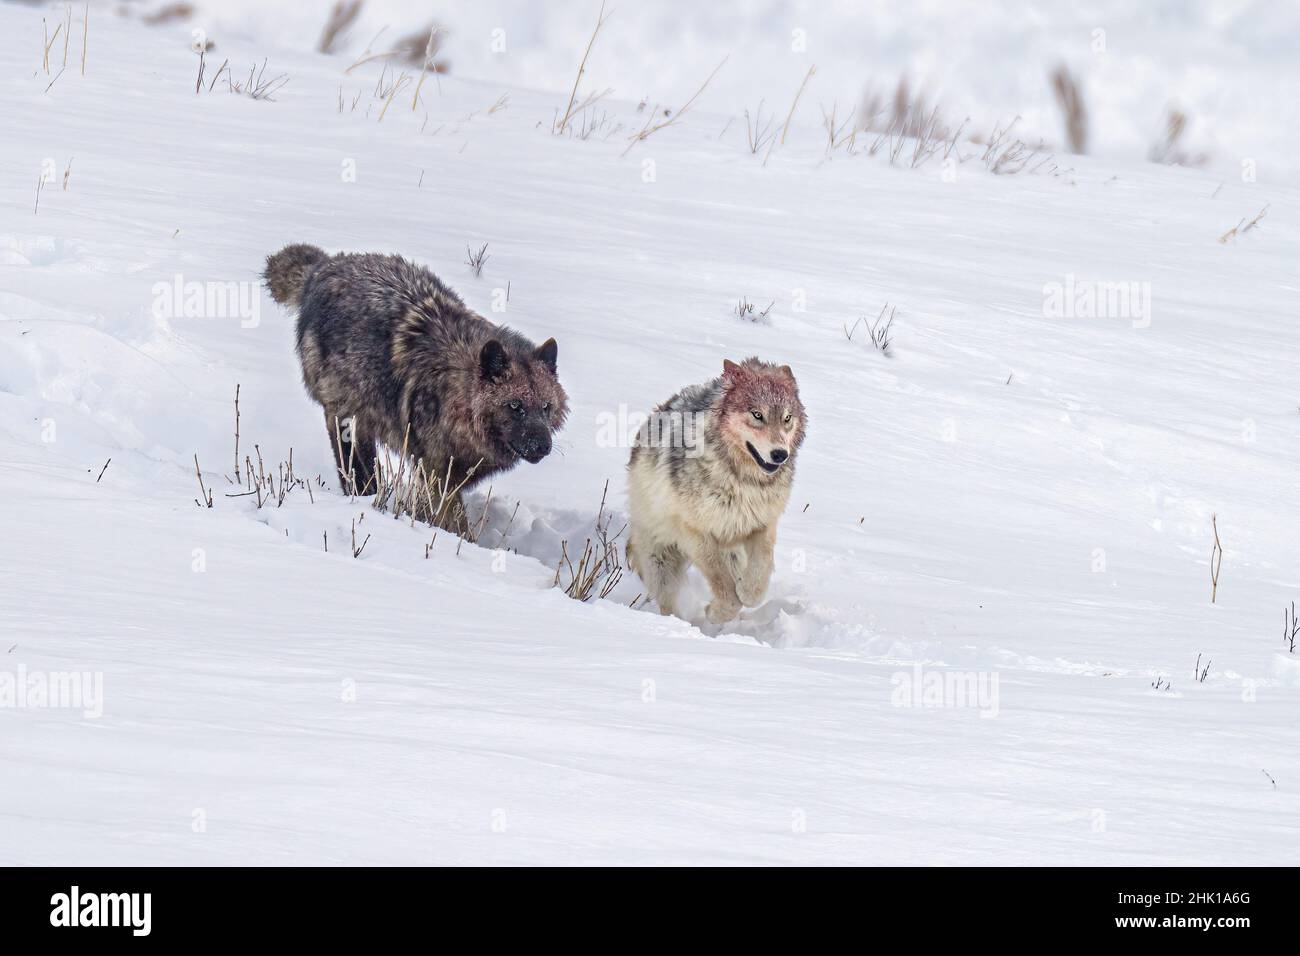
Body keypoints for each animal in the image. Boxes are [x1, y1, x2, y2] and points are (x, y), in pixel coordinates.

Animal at [263, 244, 568, 526]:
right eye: (515, 405)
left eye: (546, 407)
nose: (543, 446)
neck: (454, 393)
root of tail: (325, 265)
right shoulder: (436, 472)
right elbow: (455, 524)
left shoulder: (445, 474)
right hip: (345, 415)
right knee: (351, 463)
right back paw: (362, 494)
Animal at [626, 358, 806, 624]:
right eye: (757, 415)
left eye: (787, 418)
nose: (780, 454)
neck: (743, 481)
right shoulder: (696, 534)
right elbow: (725, 590)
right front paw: (715, 612)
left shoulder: (761, 524)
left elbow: (758, 582)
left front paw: (745, 591)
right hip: (660, 560)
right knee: (669, 603)